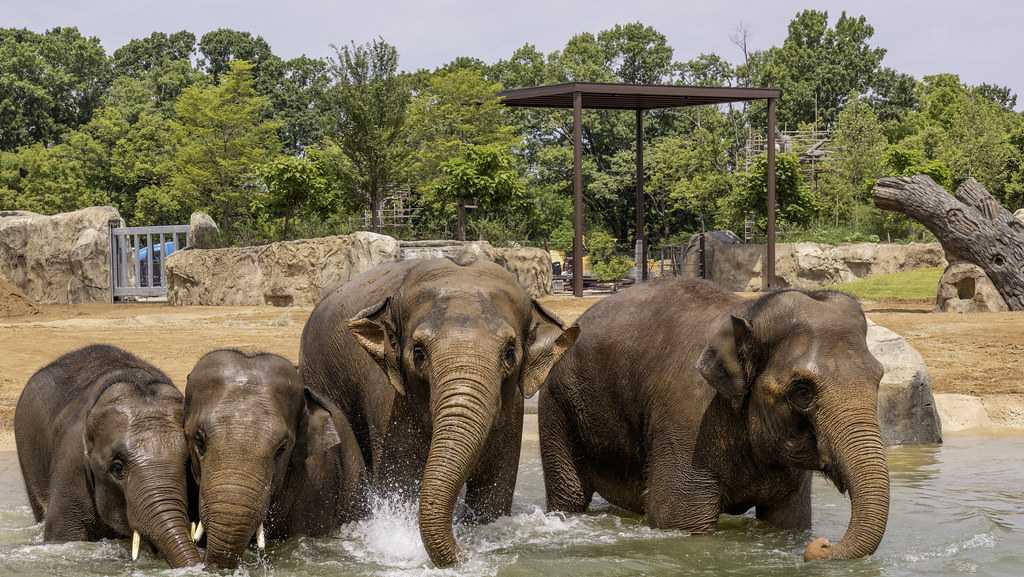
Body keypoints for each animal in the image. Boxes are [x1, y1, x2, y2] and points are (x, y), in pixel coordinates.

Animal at [299, 255, 577, 567]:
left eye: (509, 353)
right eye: (418, 352)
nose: (465, 553)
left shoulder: (512, 410)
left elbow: (493, 492)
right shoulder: (392, 403)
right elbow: (403, 480)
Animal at [539, 279, 889, 561]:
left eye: (878, 379)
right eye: (802, 391)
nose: (821, 545)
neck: (750, 313)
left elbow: (788, 519)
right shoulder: (687, 420)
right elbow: (677, 519)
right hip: (558, 405)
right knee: (569, 494)